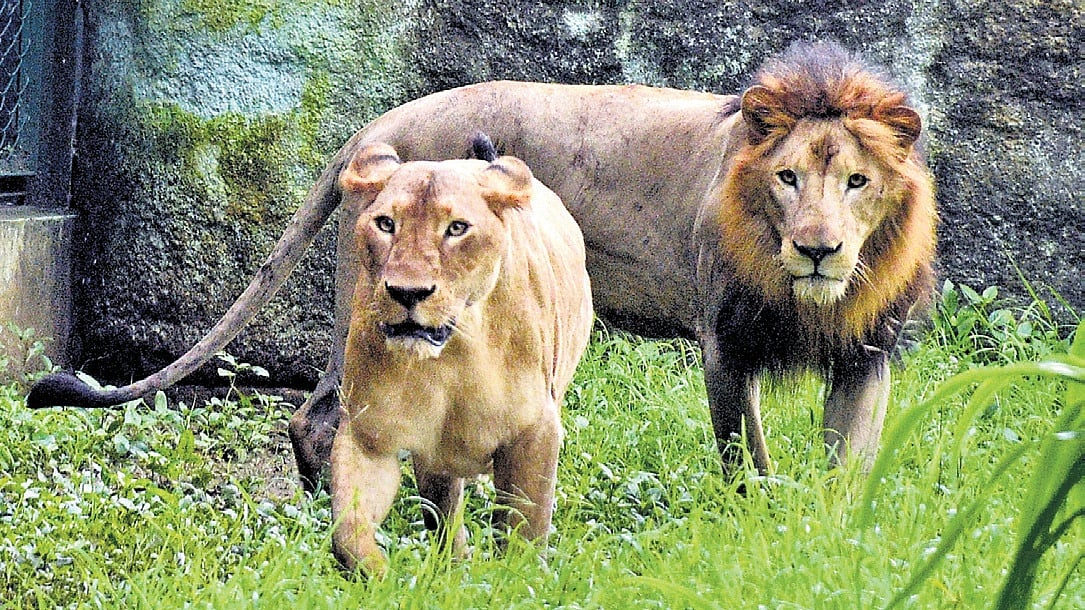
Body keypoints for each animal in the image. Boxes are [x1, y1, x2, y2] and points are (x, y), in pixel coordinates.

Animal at [29, 41, 935, 489]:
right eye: (787, 179)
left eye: (855, 181)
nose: (817, 247)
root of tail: (372, 128)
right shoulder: (724, 342)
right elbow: (742, 455)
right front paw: (755, 519)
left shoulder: (865, 355)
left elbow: (849, 462)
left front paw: (828, 534)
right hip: (384, 308)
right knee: (317, 418)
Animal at [329, 139, 592, 574]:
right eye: (386, 224)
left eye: (456, 228)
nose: (408, 292)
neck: (451, 360)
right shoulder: (369, 436)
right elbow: (348, 534)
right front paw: (386, 577)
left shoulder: (535, 431)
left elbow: (523, 534)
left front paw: (514, 580)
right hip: (436, 461)